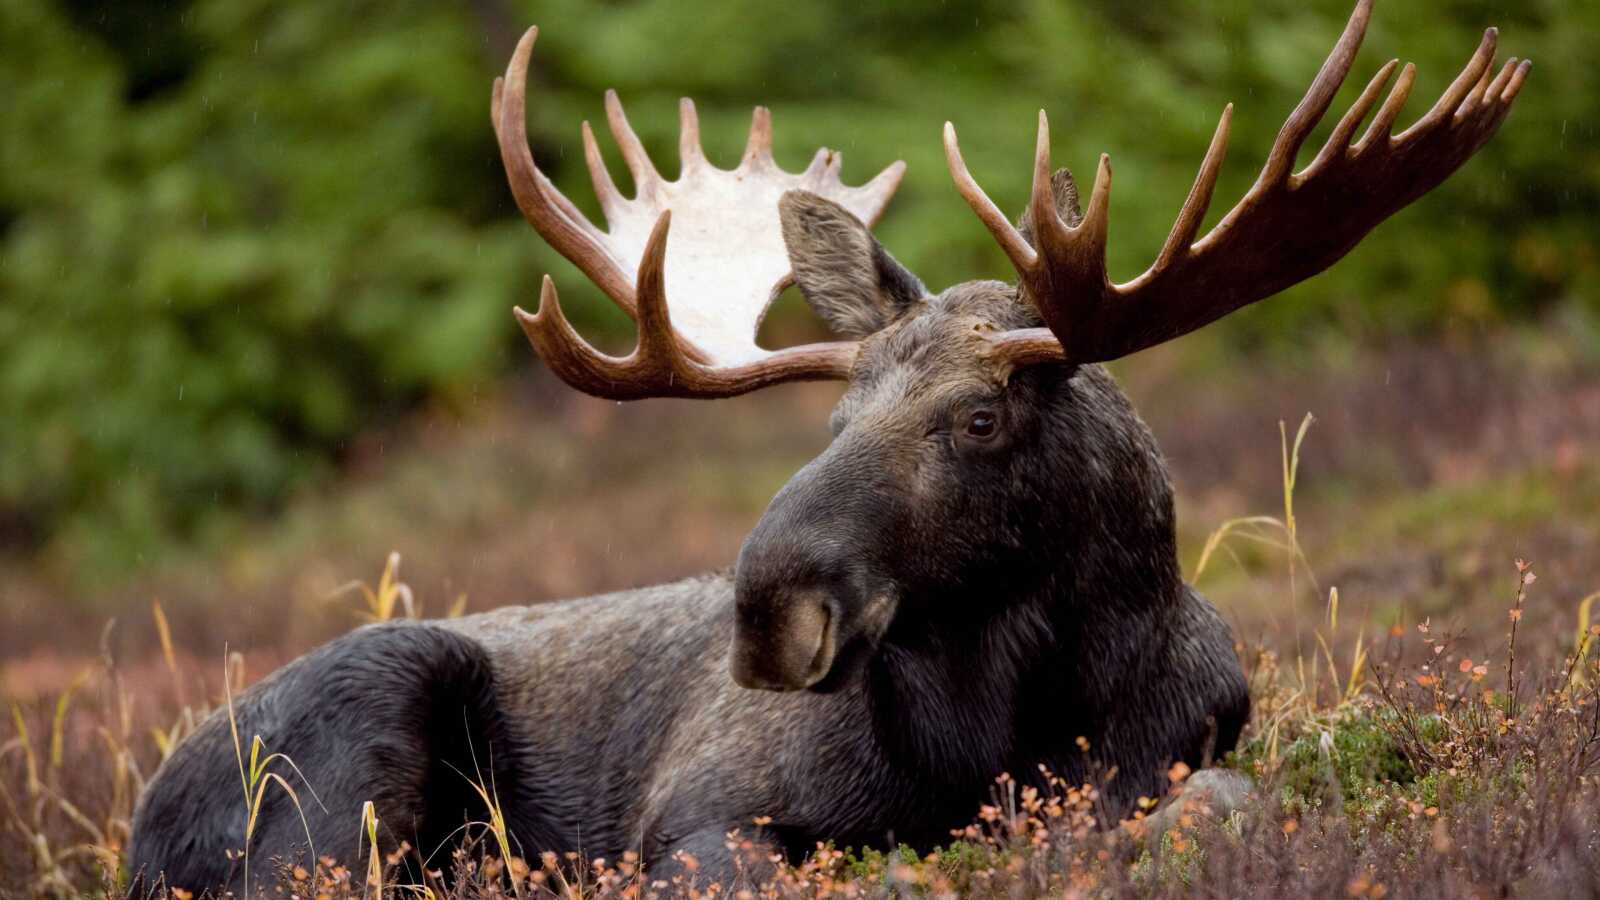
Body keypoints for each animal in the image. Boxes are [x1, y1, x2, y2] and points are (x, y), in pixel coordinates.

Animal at [127, 1, 1529, 893]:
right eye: (834, 419)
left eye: (979, 417)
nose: (767, 610)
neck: (1000, 731)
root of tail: (143, 816)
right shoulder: (701, 818)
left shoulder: (1182, 756)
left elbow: (1216, 809)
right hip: (343, 765)